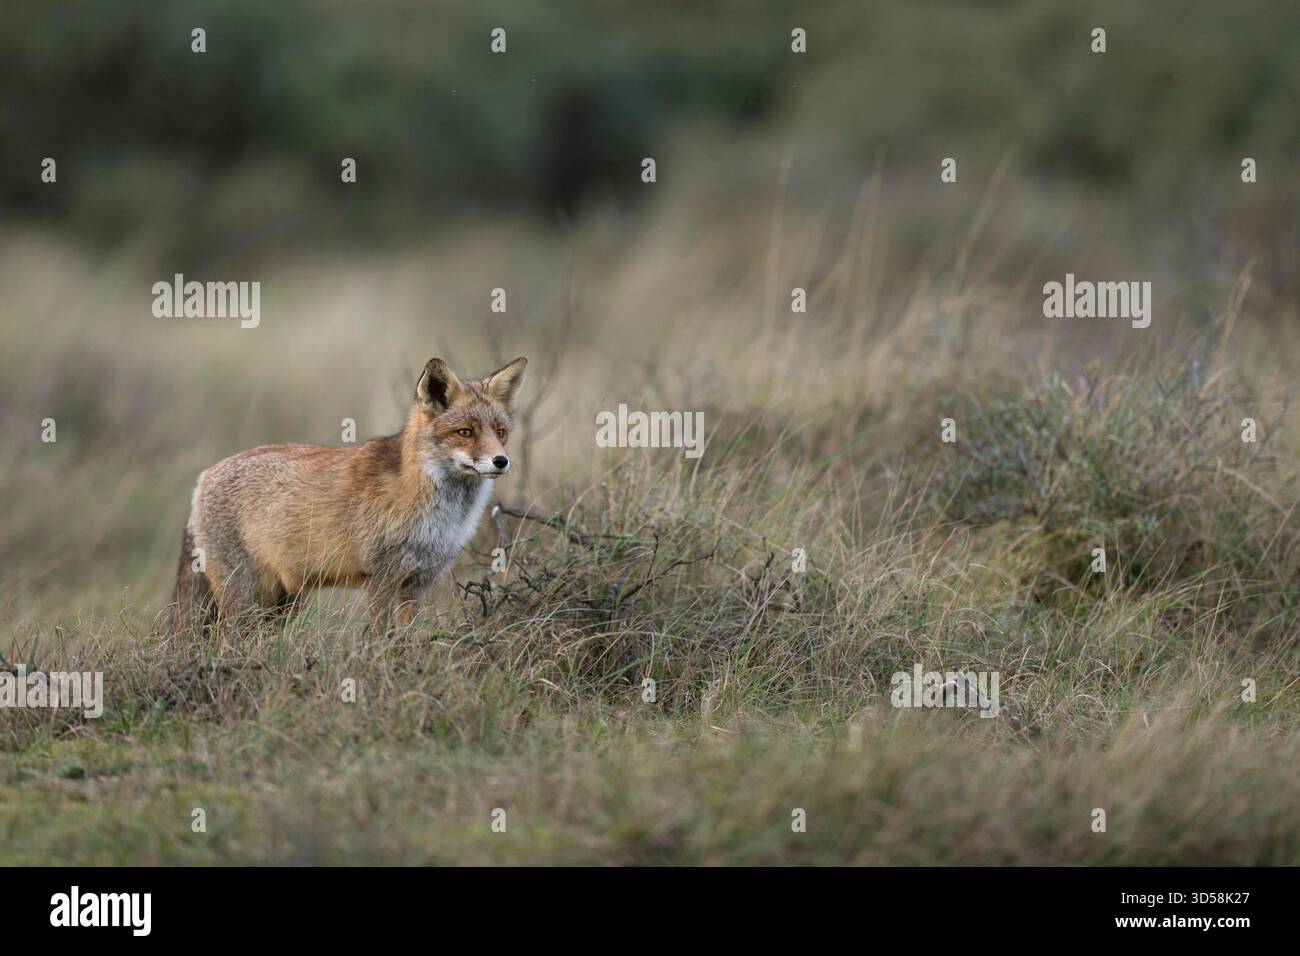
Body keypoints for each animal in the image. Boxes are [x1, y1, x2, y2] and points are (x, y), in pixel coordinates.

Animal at [171, 356, 527, 635]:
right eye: (465, 432)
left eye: (500, 432)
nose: (501, 461)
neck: (441, 515)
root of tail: (203, 478)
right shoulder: (382, 578)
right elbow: (380, 637)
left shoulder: (418, 582)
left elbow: (406, 639)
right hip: (243, 596)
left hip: (286, 602)